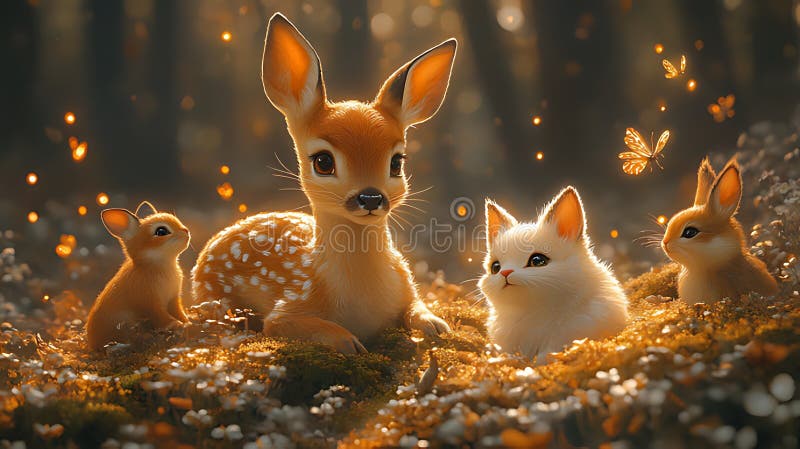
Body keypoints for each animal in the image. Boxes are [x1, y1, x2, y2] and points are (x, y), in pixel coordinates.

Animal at [86, 201, 191, 351]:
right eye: (161, 232)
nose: (186, 231)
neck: (157, 266)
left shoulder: (173, 299)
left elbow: (179, 311)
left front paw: (187, 322)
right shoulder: (150, 302)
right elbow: (162, 317)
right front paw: (177, 325)